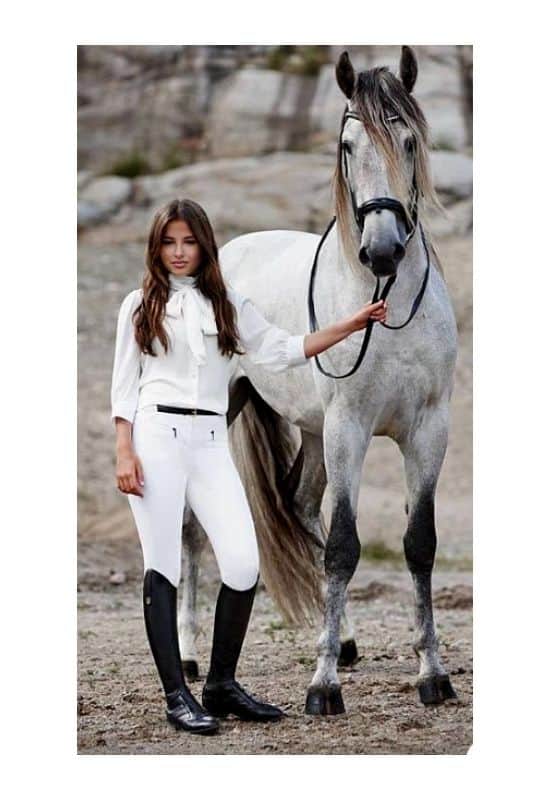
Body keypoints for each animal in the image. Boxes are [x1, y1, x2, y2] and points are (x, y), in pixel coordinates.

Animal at [178, 46, 459, 712]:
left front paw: (432, 674)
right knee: (194, 529)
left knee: (301, 504)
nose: (382, 250)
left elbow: (418, 543)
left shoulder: (428, 429)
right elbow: (344, 547)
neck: (385, 308)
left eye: (409, 141)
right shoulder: (349, 427)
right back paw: (190, 651)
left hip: (311, 431)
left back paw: (349, 642)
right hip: (238, 418)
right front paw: (322, 685)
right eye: (348, 145)